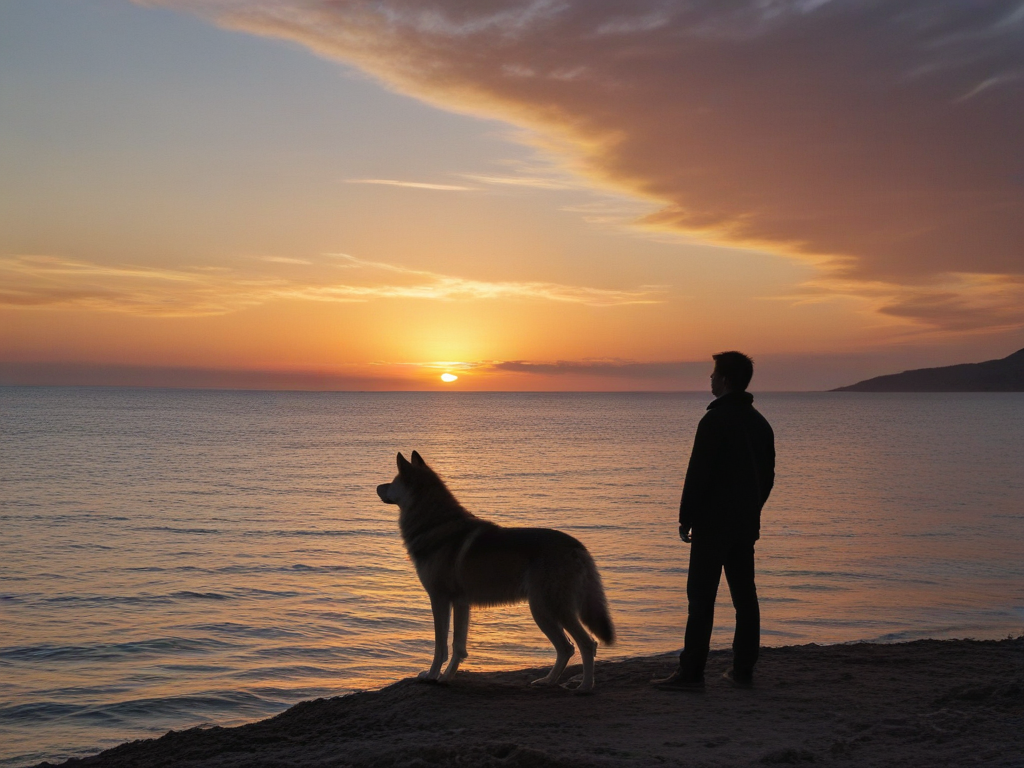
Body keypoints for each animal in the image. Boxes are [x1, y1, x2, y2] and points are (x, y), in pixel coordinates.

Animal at [376, 451, 615, 692]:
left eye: (393, 482)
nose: (377, 486)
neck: (434, 524)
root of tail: (578, 546)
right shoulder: (461, 603)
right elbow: (458, 646)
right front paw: (447, 677)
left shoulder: (439, 599)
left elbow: (440, 646)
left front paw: (433, 676)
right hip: (543, 611)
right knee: (567, 648)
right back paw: (548, 680)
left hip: (549, 609)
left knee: (586, 644)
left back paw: (585, 686)